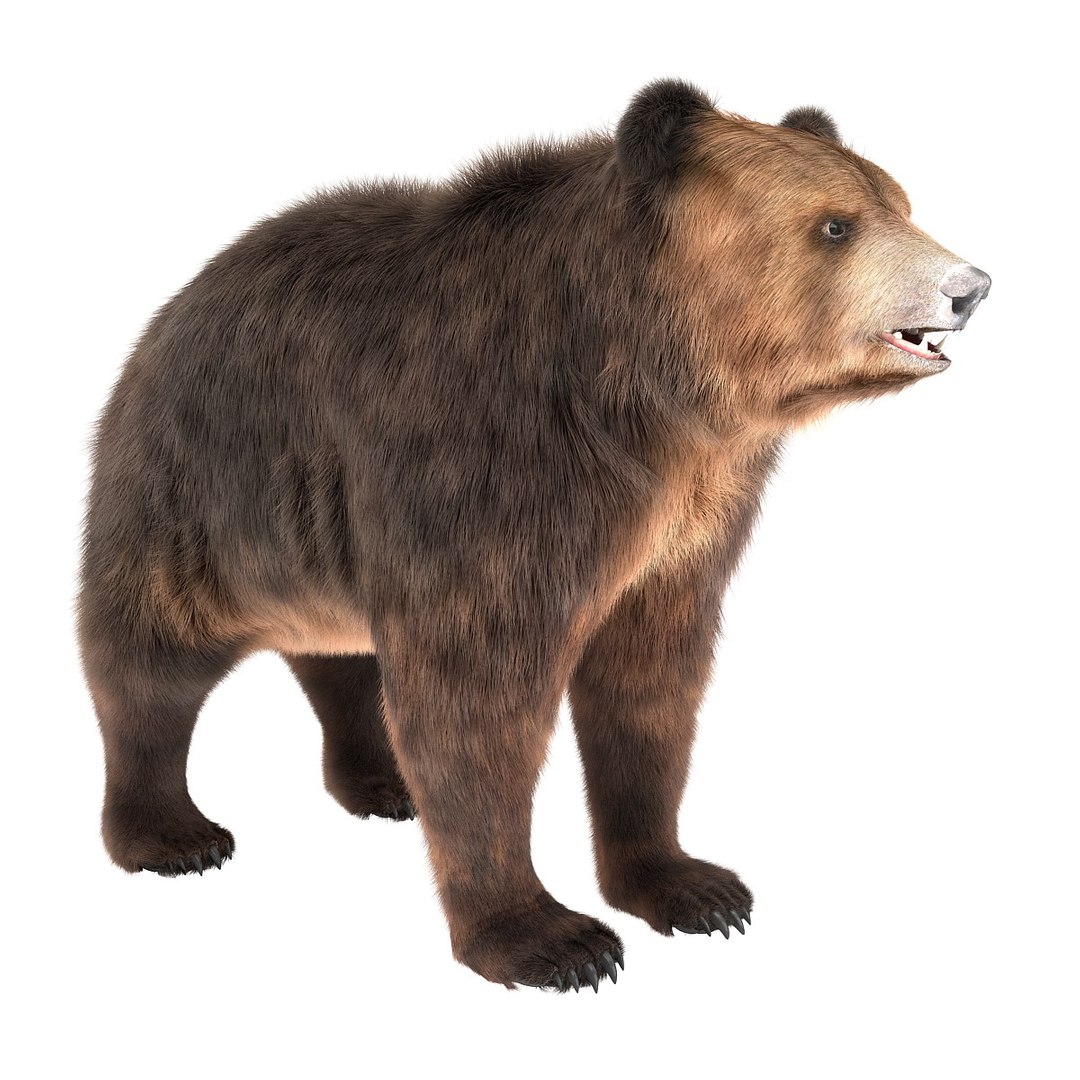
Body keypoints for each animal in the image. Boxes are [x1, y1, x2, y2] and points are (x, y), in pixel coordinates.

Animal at [78, 79, 990, 992]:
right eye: (837, 225)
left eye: (899, 201)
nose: (970, 285)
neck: (644, 403)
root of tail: (174, 305)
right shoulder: (488, 475)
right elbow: (476, 697)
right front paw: (552, 940)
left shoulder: (687, 525)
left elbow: (651, 687)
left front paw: (693, 888)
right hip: (205, 491)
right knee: (150, 654)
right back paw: (173, 833)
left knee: (336, 651)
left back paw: (381, 781)